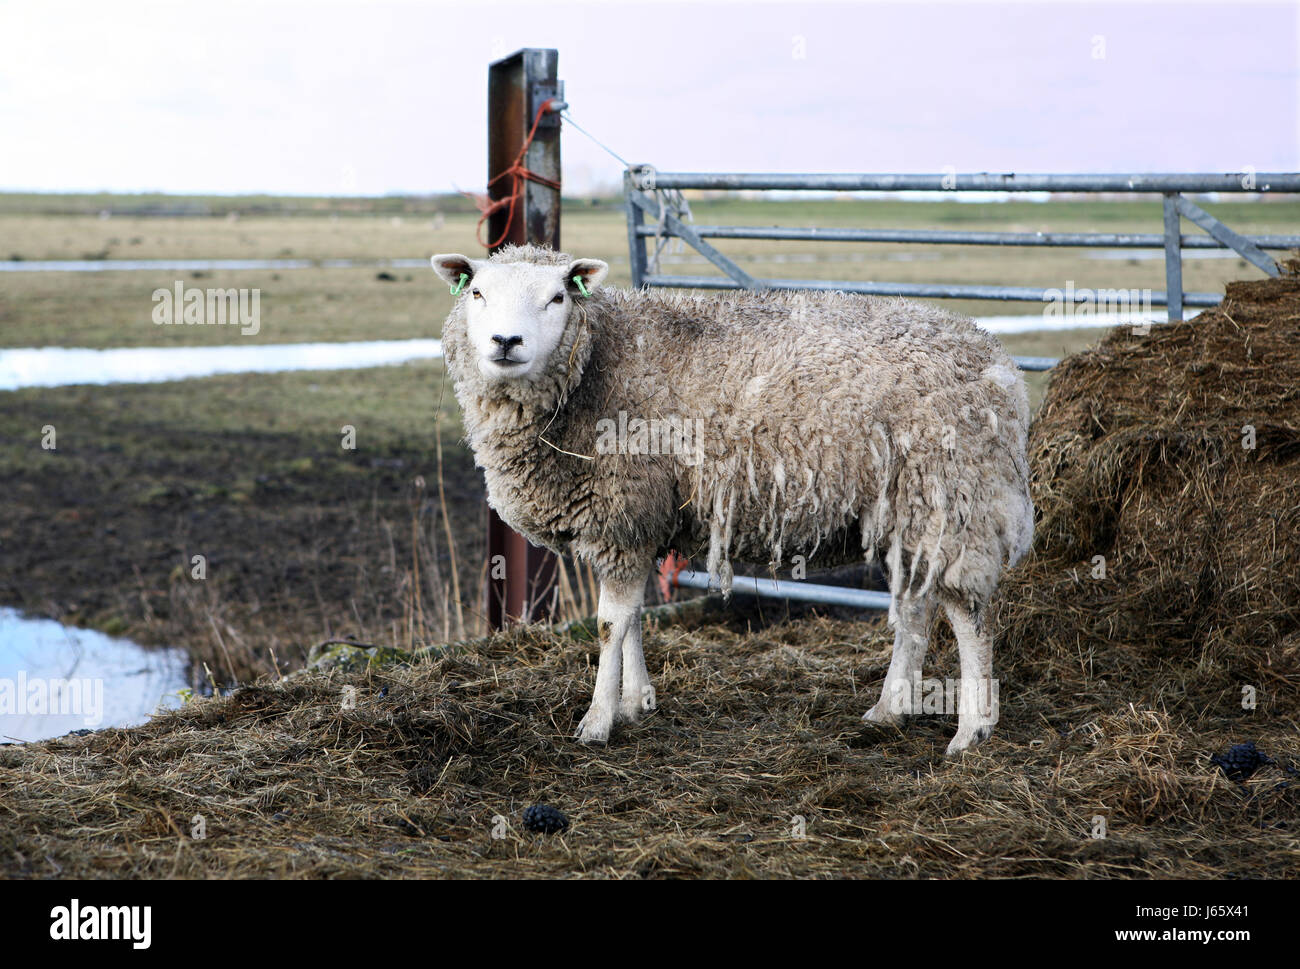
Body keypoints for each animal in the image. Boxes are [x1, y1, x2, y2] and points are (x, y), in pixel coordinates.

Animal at [431, 244, 1034, 755]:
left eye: (557, 297)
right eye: (477, 292)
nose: (505, 342)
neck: (600, 364)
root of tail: (999, 363)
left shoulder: (622, 512)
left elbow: (608, 625)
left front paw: (598, 721)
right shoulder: (640, 521)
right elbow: (634, 619)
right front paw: (636, 702)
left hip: (952, 499)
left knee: (970, 618)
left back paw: (972, 730)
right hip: (907, 513)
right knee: (914, 607)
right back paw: (890, 709)